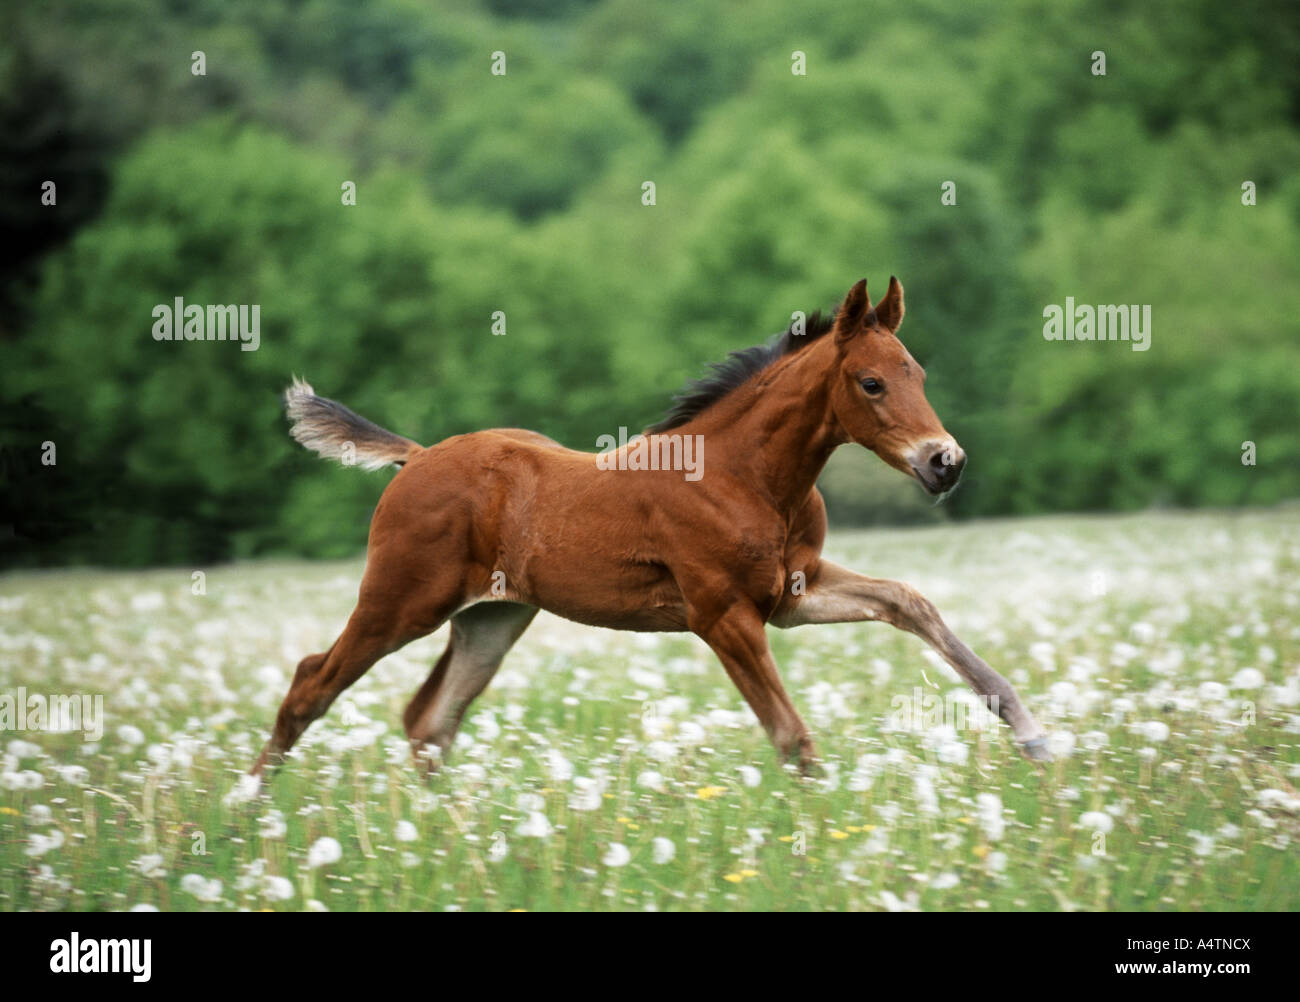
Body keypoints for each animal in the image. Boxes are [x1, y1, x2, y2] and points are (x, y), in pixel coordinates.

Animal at [250, 276, 1050, 785]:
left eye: (918, 372)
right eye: (871, 383)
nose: (945, 463)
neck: (745, 475)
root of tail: (417, 457)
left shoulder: (792, 595)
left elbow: (909, 602)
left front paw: (1032, 734)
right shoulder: (723, 615)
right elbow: (792, 738)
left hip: (492, 618)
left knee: (429, 720)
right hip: (400, 601)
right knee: (310, 684)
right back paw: (247, 812)